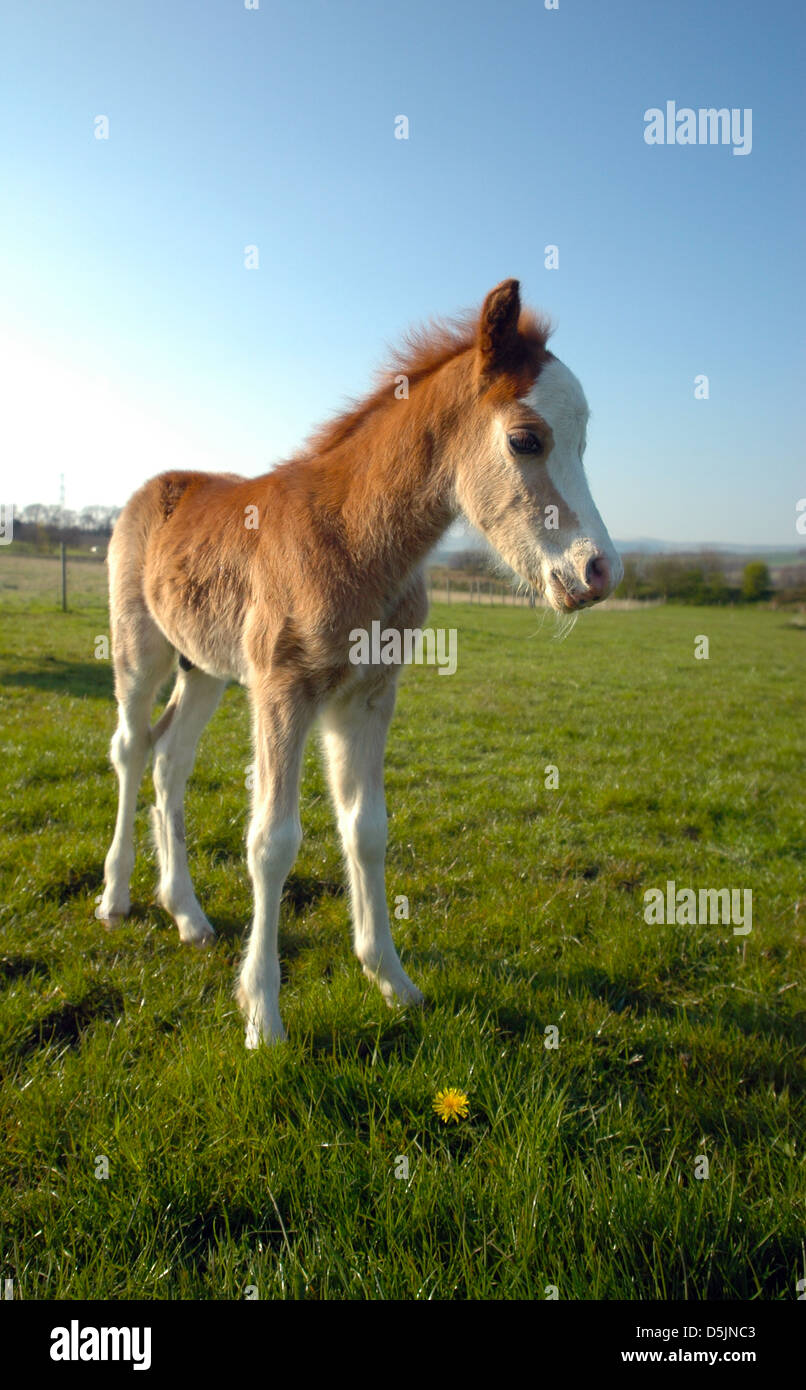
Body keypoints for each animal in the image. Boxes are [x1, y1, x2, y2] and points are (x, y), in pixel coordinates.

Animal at [96, 279, 622, 1047]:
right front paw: (263, 1017)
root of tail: (157, 487)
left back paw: (187, 914)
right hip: (142, 651)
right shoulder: (283, 691)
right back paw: (116, 897)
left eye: (584, 443)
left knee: (171, 760)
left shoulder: (368, 694)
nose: (600, 571)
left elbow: (367, 828)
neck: (353, 537)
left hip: (206, 668)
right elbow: (272, 842)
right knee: (132, 747)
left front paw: (393, 980)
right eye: (526, 438)